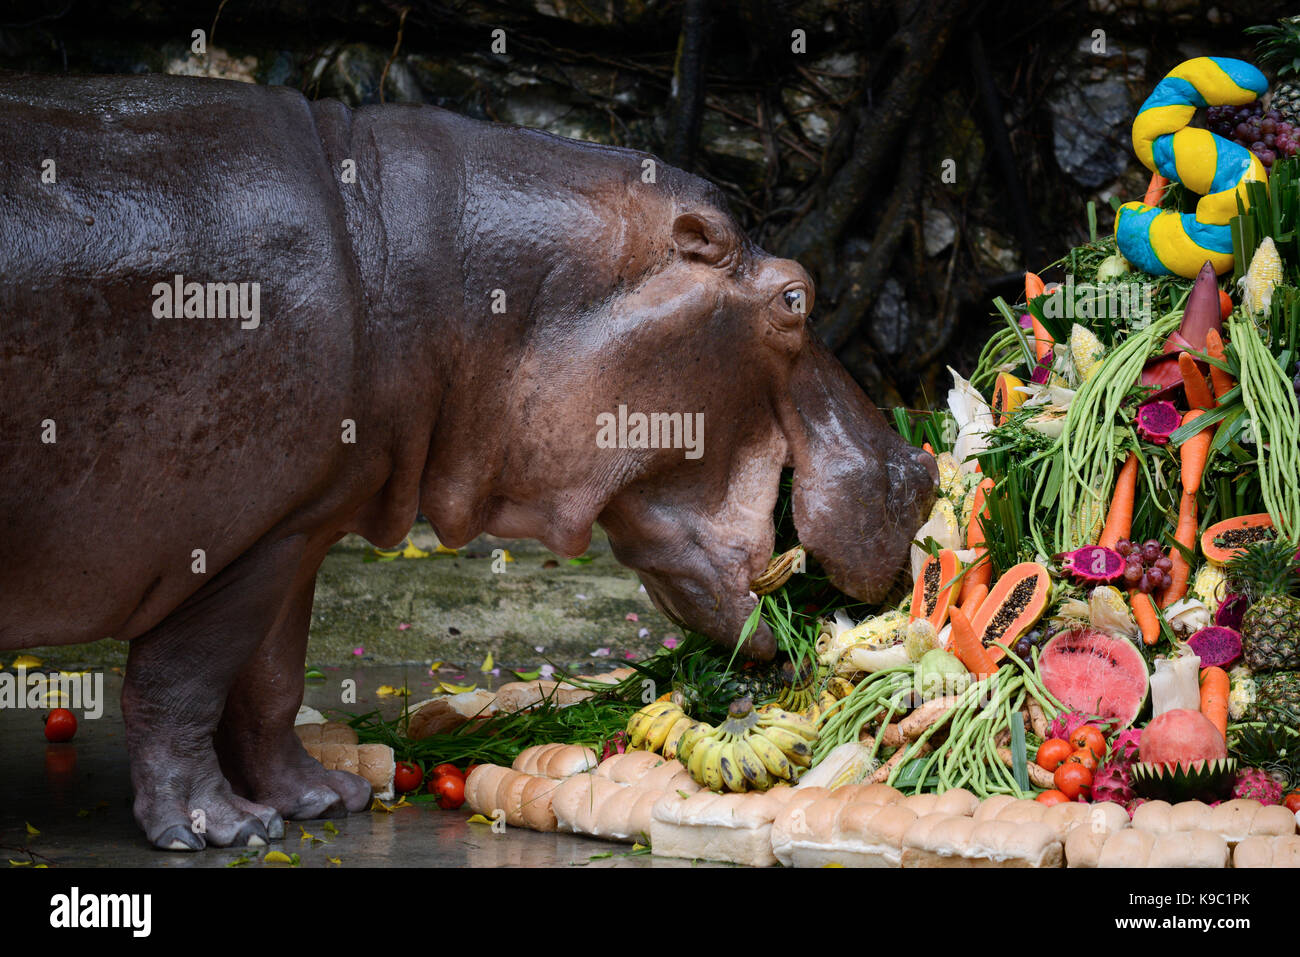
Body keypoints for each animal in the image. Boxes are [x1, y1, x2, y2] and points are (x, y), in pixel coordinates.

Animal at [0, 73, 936, 850]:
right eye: (794, 297)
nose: (918, 471)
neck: (417, 260)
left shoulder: (296, 528)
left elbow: (269, 679)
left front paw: (321, 798)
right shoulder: (233, 537)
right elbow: (185, 679)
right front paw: (222, 830)